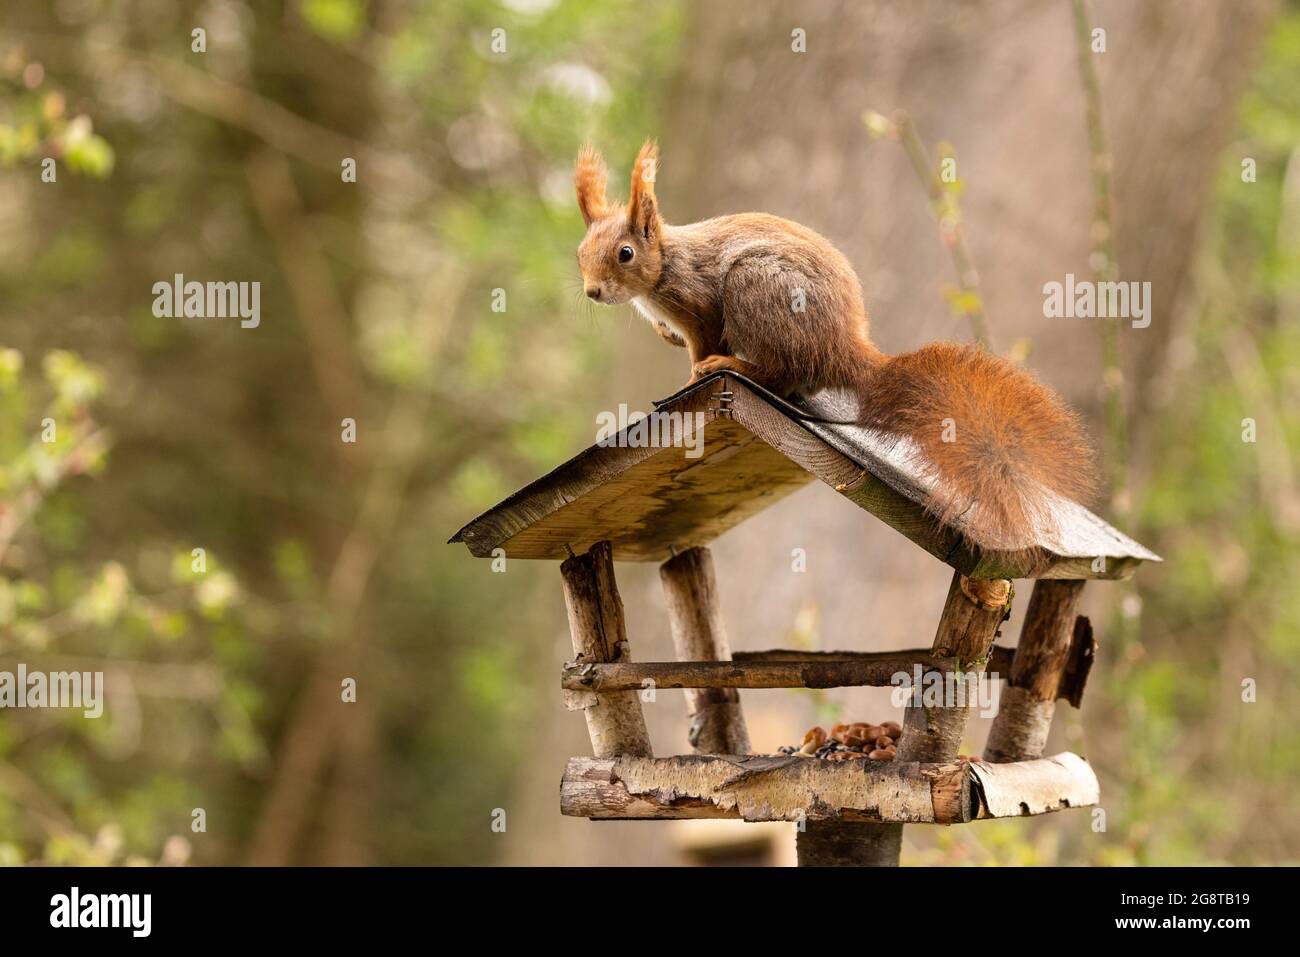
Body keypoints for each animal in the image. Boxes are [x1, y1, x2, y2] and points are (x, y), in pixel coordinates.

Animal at [574, 140, 1095, 552]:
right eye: (580, 253)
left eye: (625, 254)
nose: (592, 292)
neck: (663, 266)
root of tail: (841, 349)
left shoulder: (699, 304)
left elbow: (700, 345)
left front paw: (694, 375)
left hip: (755, 286)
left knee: (780, 373)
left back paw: (734, 365)